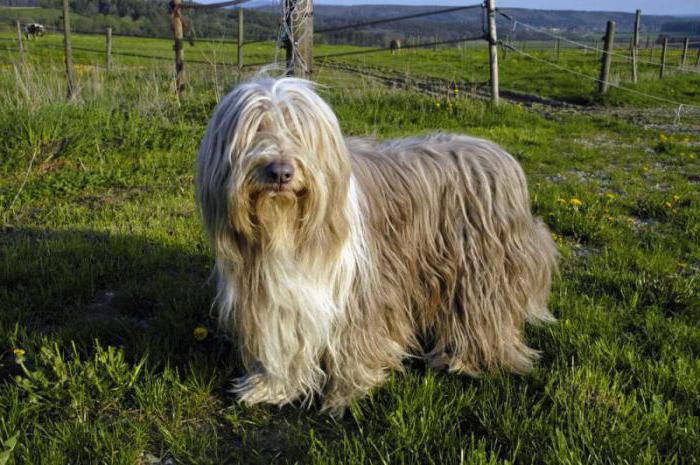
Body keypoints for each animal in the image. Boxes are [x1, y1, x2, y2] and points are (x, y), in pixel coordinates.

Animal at [194, 77, 556, 414]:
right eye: (256, 129)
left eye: (301, 132)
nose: (280, 172)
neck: (287, 229)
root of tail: (500, 155)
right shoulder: (275, 300)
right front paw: (272, 387)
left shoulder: (361, 292)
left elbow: (354, 342)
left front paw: (347, 393)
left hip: (480, 270)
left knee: (482, 313)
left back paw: (465, 360)